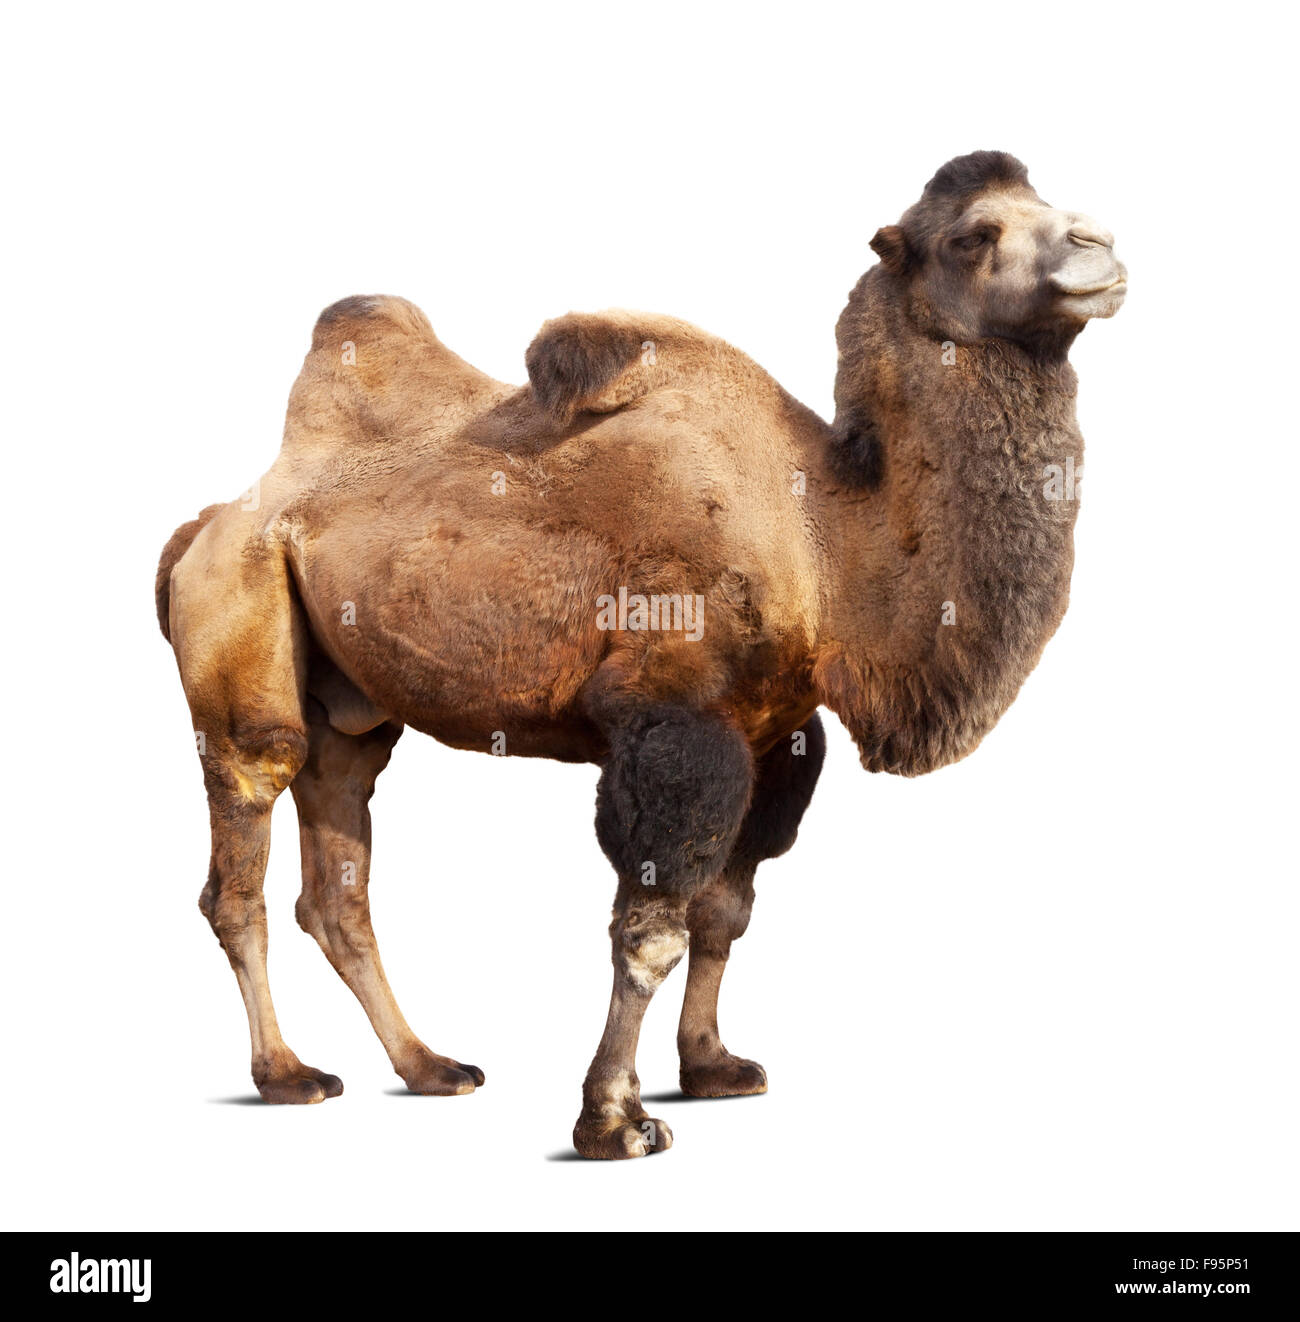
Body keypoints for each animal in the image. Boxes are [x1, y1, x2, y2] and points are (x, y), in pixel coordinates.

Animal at [156, 151, 1125, 1158]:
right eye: (973, 235)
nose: (1100, 245)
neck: (826, 537)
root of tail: (203, 527)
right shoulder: (673, 719)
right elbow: (652, 927)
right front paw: (614, 1119)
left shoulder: (777, 734)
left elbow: (727, 911)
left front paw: (711, 1068)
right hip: (240, 622)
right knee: (245, 837)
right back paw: (288, 1076)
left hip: (350, 707)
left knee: (338, 883)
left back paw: (431, 1067)